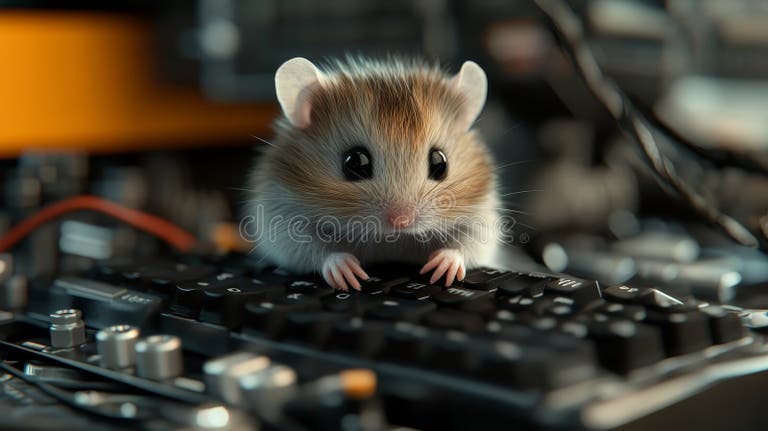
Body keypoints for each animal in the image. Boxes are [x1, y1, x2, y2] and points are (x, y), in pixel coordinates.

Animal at [246, 56, 501, 290]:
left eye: (440, 162)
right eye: (355, 162)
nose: (401, 221)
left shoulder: (481, 217)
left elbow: (465, 244)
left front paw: (441, 267)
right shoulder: (281, 218)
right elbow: (315, 250)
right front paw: (349, 274)